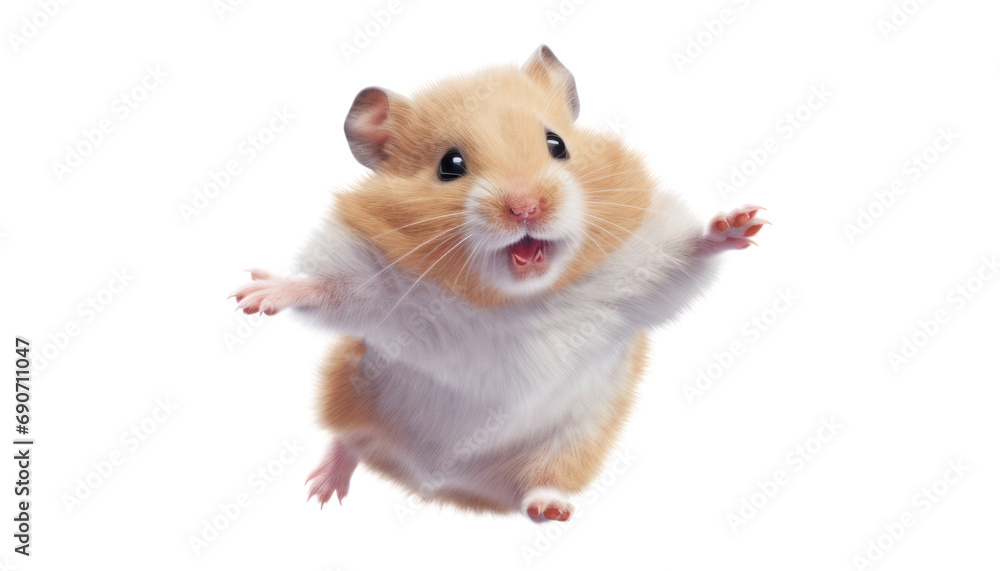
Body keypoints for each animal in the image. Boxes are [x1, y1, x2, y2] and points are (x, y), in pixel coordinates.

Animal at [230, 45, 767, 522]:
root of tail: (444, 484)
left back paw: (550, 510)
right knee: (349, 439)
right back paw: (321, 490)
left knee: (543, 480)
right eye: (450, 165)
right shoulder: (374, 286)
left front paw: (742, 222)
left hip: (577, 438)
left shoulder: (637, 274)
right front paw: (252, 296)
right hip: (351, 390)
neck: (517, 299)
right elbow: (328, 289)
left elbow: (684, 258)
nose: (526, 207)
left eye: (557, 144)